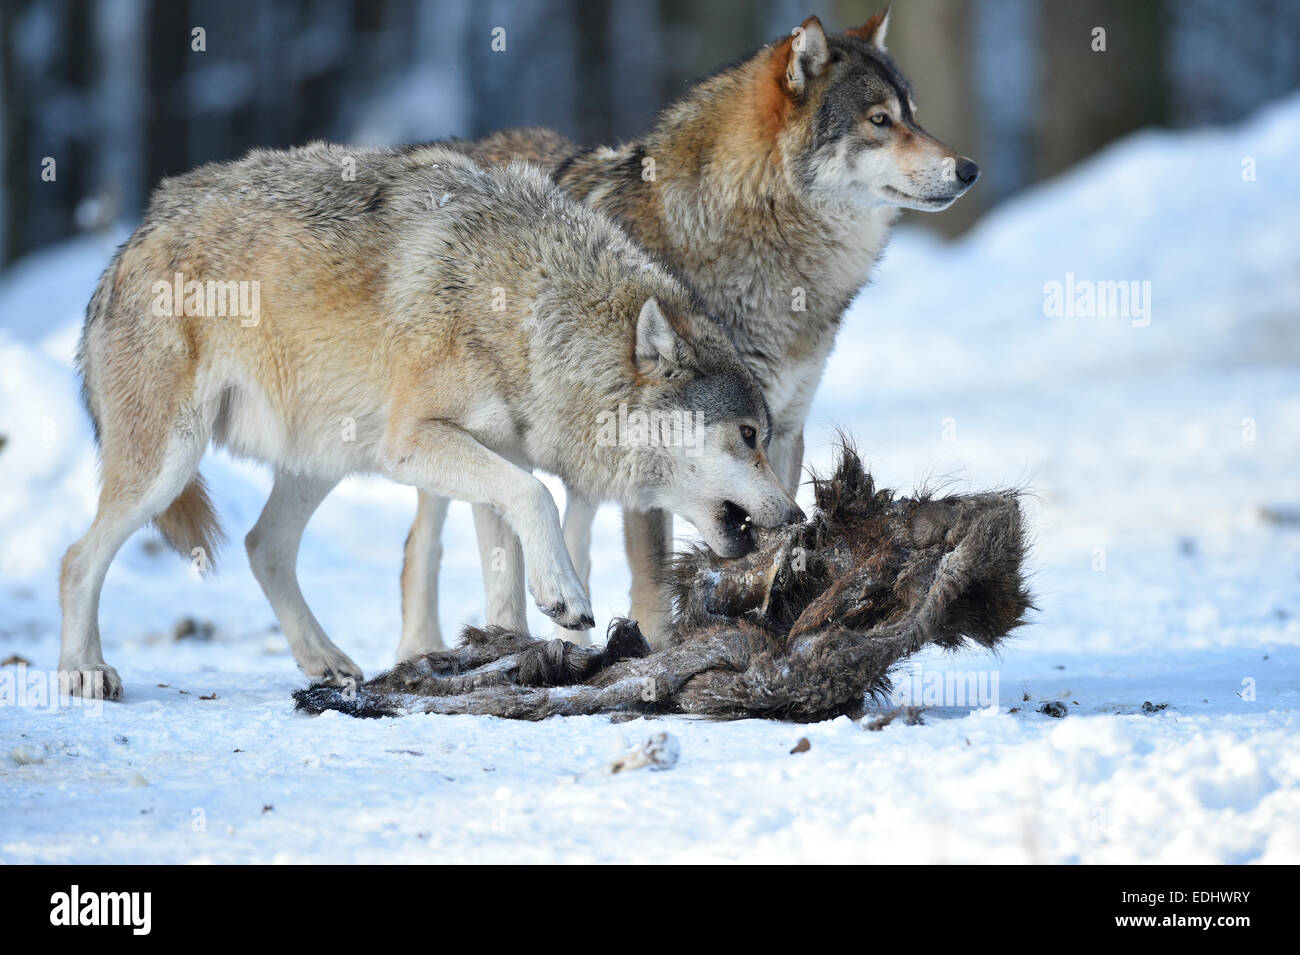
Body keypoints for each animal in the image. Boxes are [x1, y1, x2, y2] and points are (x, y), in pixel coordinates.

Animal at [59, 144, 801, 699]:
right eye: (748, 436)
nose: (796, 516)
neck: (530, 313)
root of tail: (130, 243)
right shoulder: (418, 442)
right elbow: (538, 499)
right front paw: (563, 599)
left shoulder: (496, 458)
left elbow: (506, 575)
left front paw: (518, 657)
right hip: (170, 463)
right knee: (77, 558)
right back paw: (84, 671)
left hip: (322, 459)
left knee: (262, 545)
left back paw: (324, 660)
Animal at [397, 9, 980, 655]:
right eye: (880, 120)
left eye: (914, 116)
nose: (969, 169)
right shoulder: (659, 462)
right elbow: (653, 574)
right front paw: (656, 649)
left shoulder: (780, 433)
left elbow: (773, 536)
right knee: (420, 543)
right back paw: (419, 649)